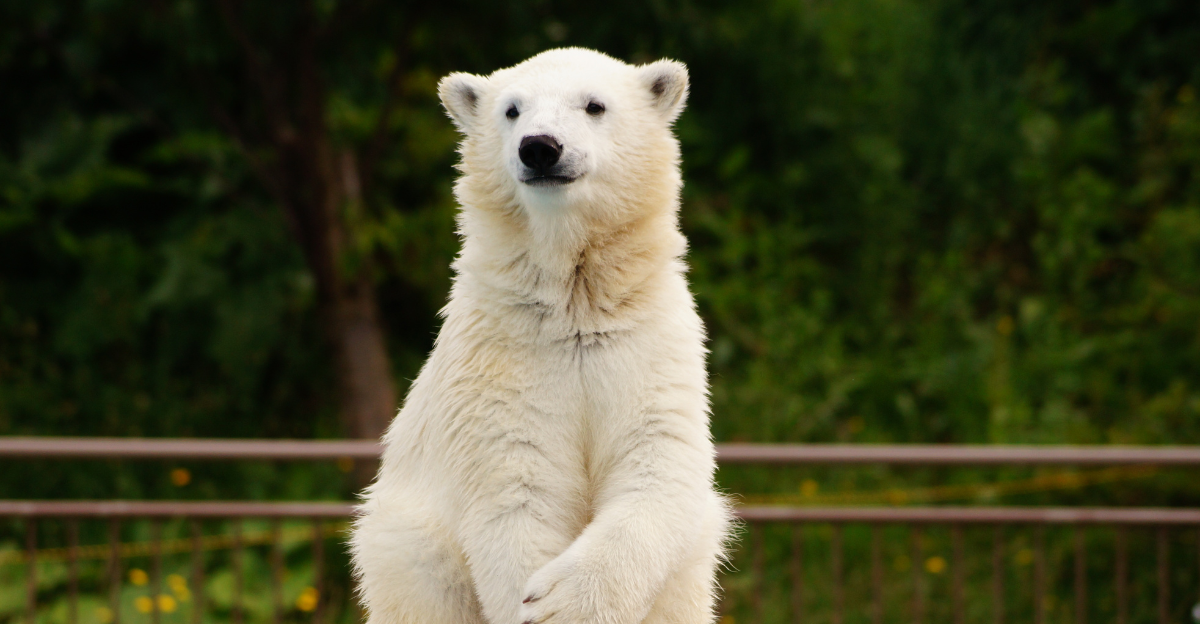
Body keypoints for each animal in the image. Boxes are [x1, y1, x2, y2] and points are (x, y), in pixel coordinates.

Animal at [350, 47, 733, 624]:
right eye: (512, 110)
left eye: (594, 105)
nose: (540, 147)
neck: (574, 306)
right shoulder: (500, 360)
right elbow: (517, 493)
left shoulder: (649, 348)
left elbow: (654, 470)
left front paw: (565, 602)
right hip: (412, 554)